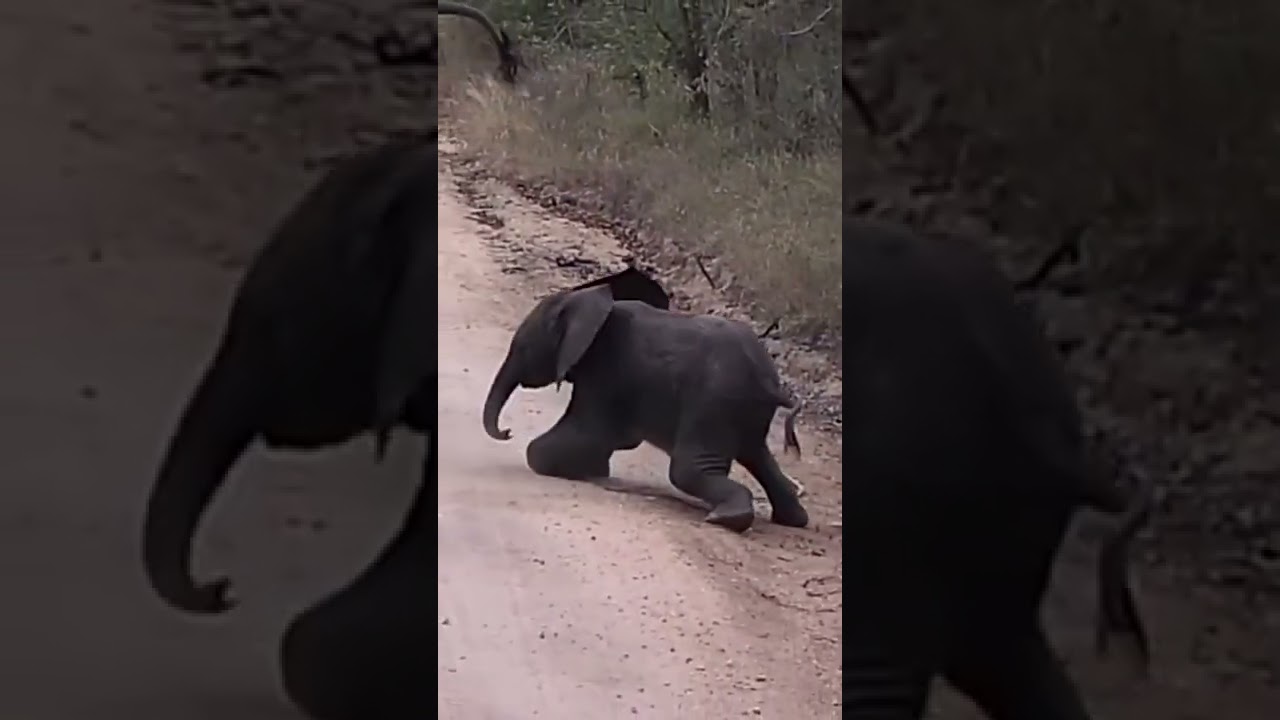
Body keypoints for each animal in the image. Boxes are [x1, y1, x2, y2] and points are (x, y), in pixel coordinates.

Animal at [482, 267, 810, 533]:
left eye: (524, 347)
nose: (507, 432)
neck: (587, 301)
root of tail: (771, 383)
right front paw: (594, 470)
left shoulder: (606, 369)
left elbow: (586, 433)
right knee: (758, 456)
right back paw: (791, 519)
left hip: (715, 403)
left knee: (688, 469)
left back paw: (723, 519)